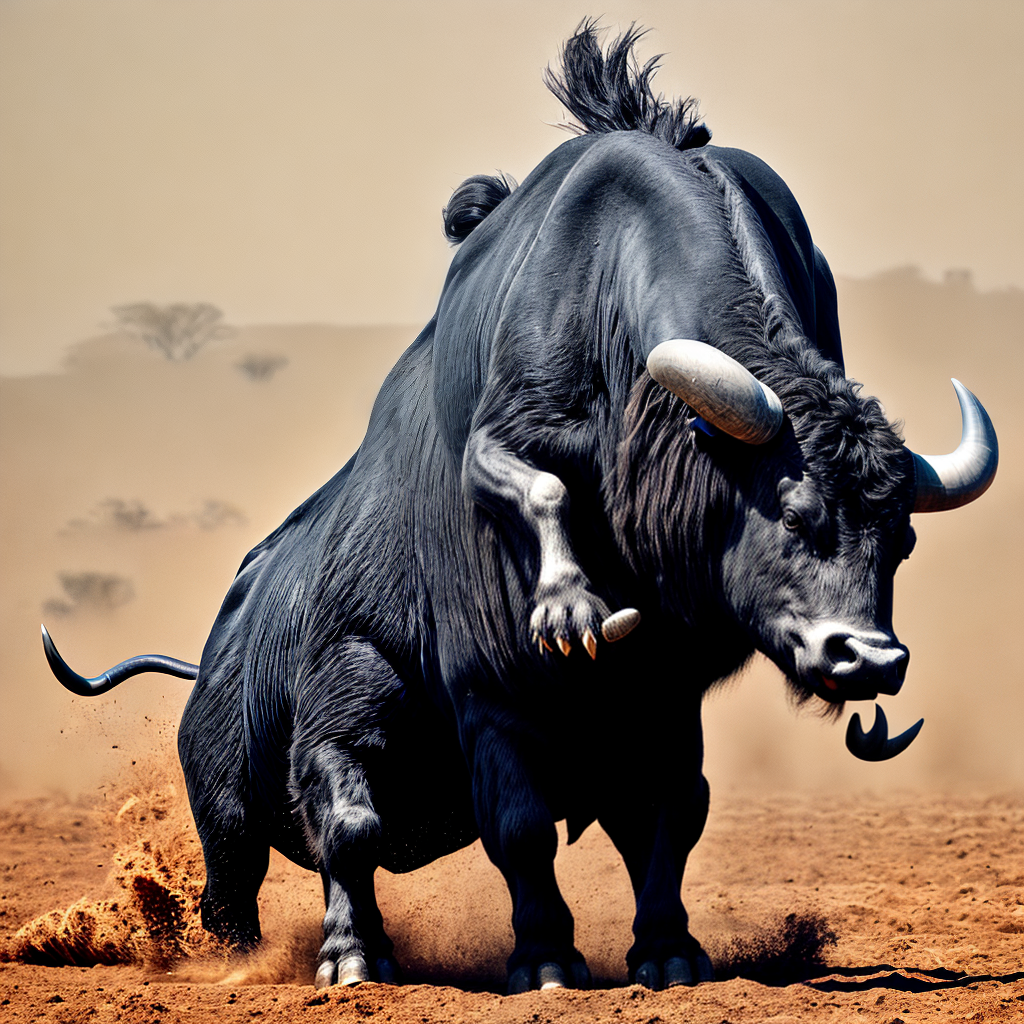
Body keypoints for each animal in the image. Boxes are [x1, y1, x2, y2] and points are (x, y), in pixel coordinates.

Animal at [43, 22, 997, 994]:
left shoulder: (661, 702)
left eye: (902, 542)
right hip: (244, 797)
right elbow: (514, 822)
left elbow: (670, 815)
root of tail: (214, 655)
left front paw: (668, 951)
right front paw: (540, 958)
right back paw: (318, 956)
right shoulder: (491, 684)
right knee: (282, 858)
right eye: (798, 515)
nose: (870, 659)